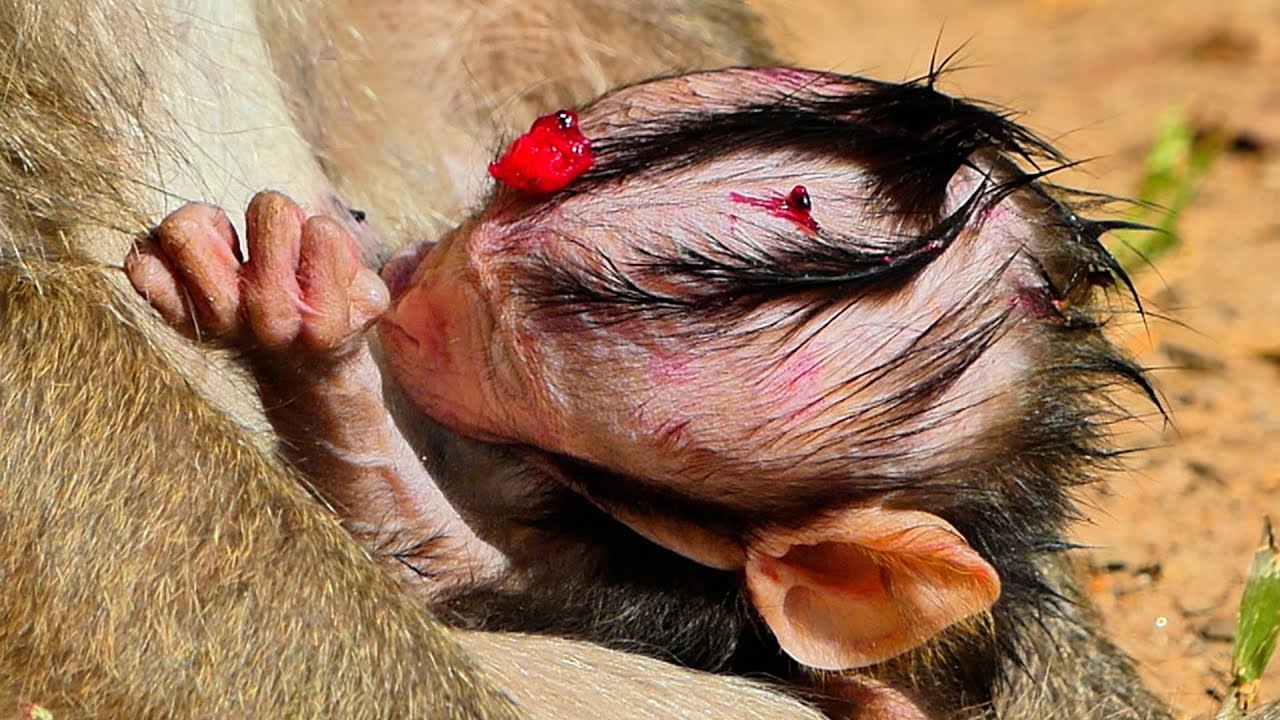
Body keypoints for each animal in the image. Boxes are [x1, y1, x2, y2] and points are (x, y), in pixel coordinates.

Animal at [127, 64, 1211, 719]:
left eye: (472, 351)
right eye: (483, 202)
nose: (408, 275)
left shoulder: (686, 605)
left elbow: (427, 562)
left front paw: (301, 324)